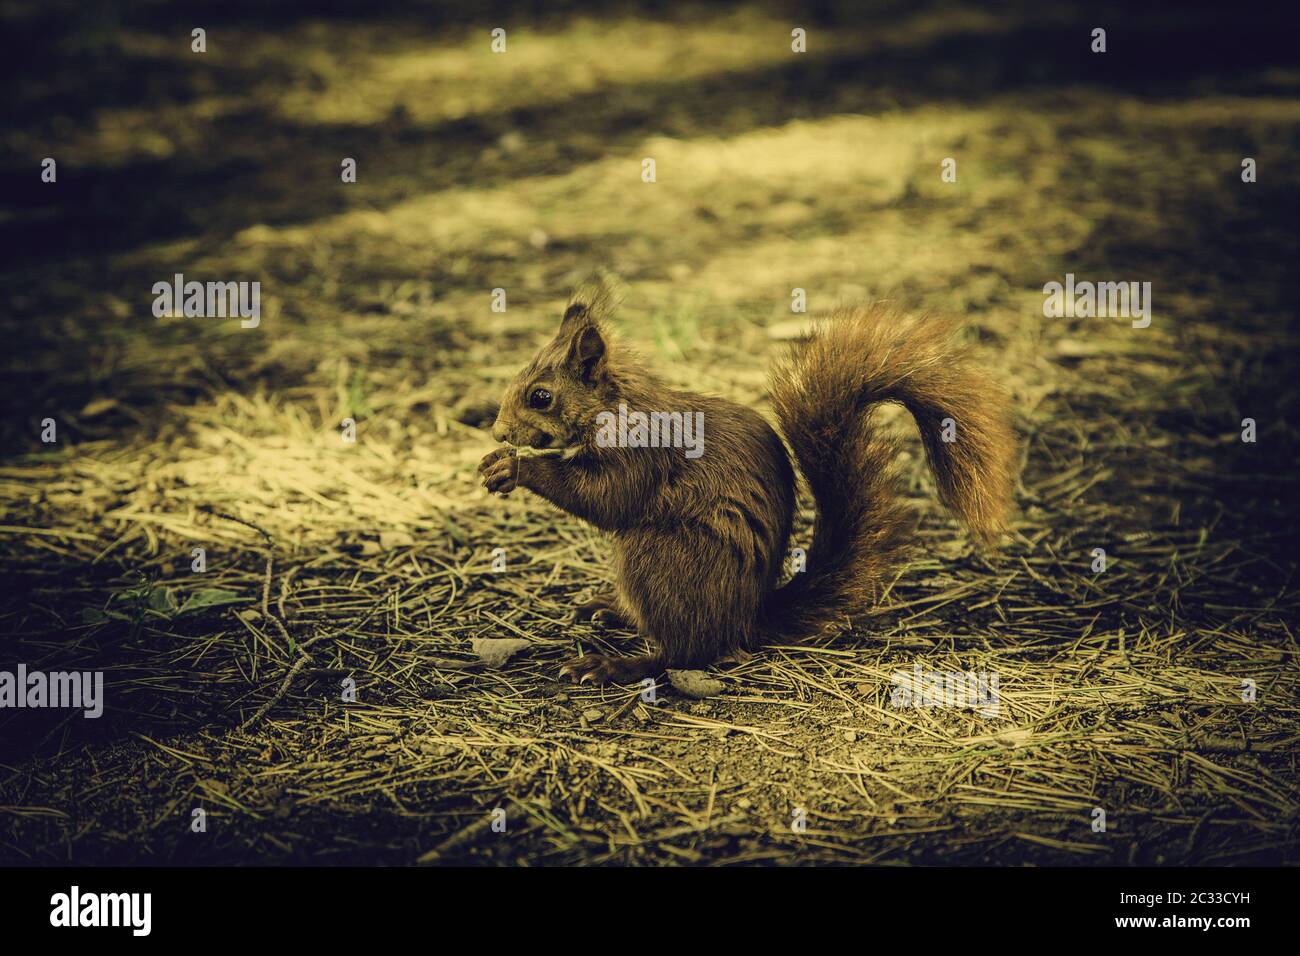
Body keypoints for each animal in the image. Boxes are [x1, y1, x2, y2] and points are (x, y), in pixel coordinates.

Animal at [479, 279, 1016, 684]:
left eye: (541, 396)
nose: (500, 431)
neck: (617, 406)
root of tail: (748, 617)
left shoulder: (641, 455)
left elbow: (606, 499)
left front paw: (515, 466)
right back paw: (611, 608)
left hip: (660, 557)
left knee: (684, 651)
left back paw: (618, 664)